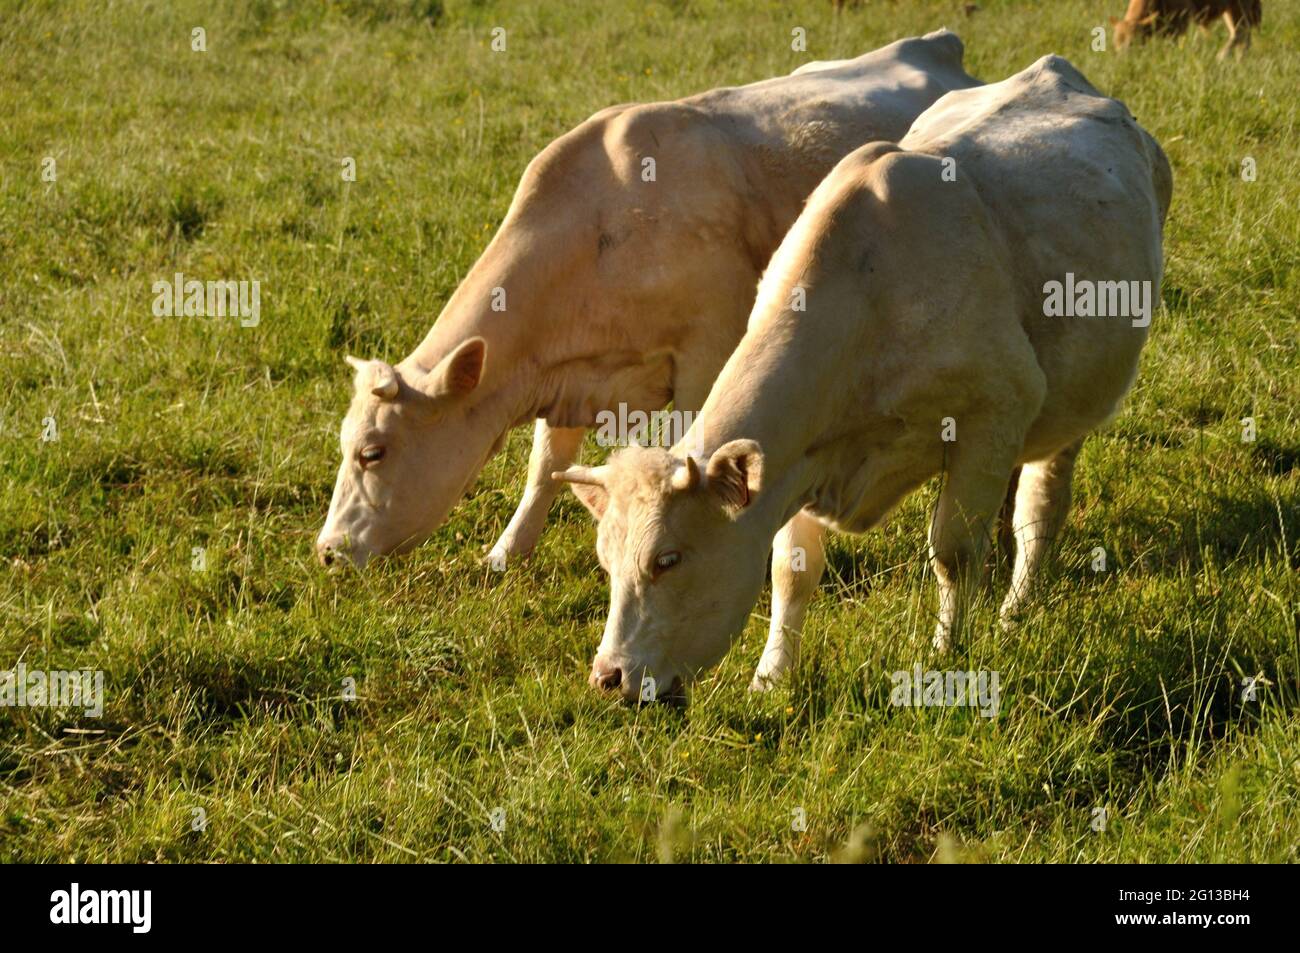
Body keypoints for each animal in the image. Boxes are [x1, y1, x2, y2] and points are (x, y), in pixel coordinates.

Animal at [315, 31, 981, 569]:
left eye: (372, 452)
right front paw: (505, 553)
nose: (327, 553)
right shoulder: (565, 380)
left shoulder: (706, 358)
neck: (606, 224)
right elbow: (544, 469)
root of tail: (936, 44)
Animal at [554, 55, 1173, 704]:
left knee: (1039, 507)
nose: (608, 676)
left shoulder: (995, 413)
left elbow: (954, 552)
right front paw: (771, 676)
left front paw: (948, 654)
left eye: (667, 559)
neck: (868, 296)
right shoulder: (796, 458)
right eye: (606, 563)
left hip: (1075, 403)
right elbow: (790, 570)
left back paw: (1014, 611)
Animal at [1110, 0, 1262, 59]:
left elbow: (1174, 44)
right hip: (1231, 10)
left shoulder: (1180, 22)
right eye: (1116, 42)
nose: (1122, 59)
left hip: (1240, 8)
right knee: (1243, 37)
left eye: (1133, 42)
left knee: (1239, 33)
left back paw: (1221, 56)